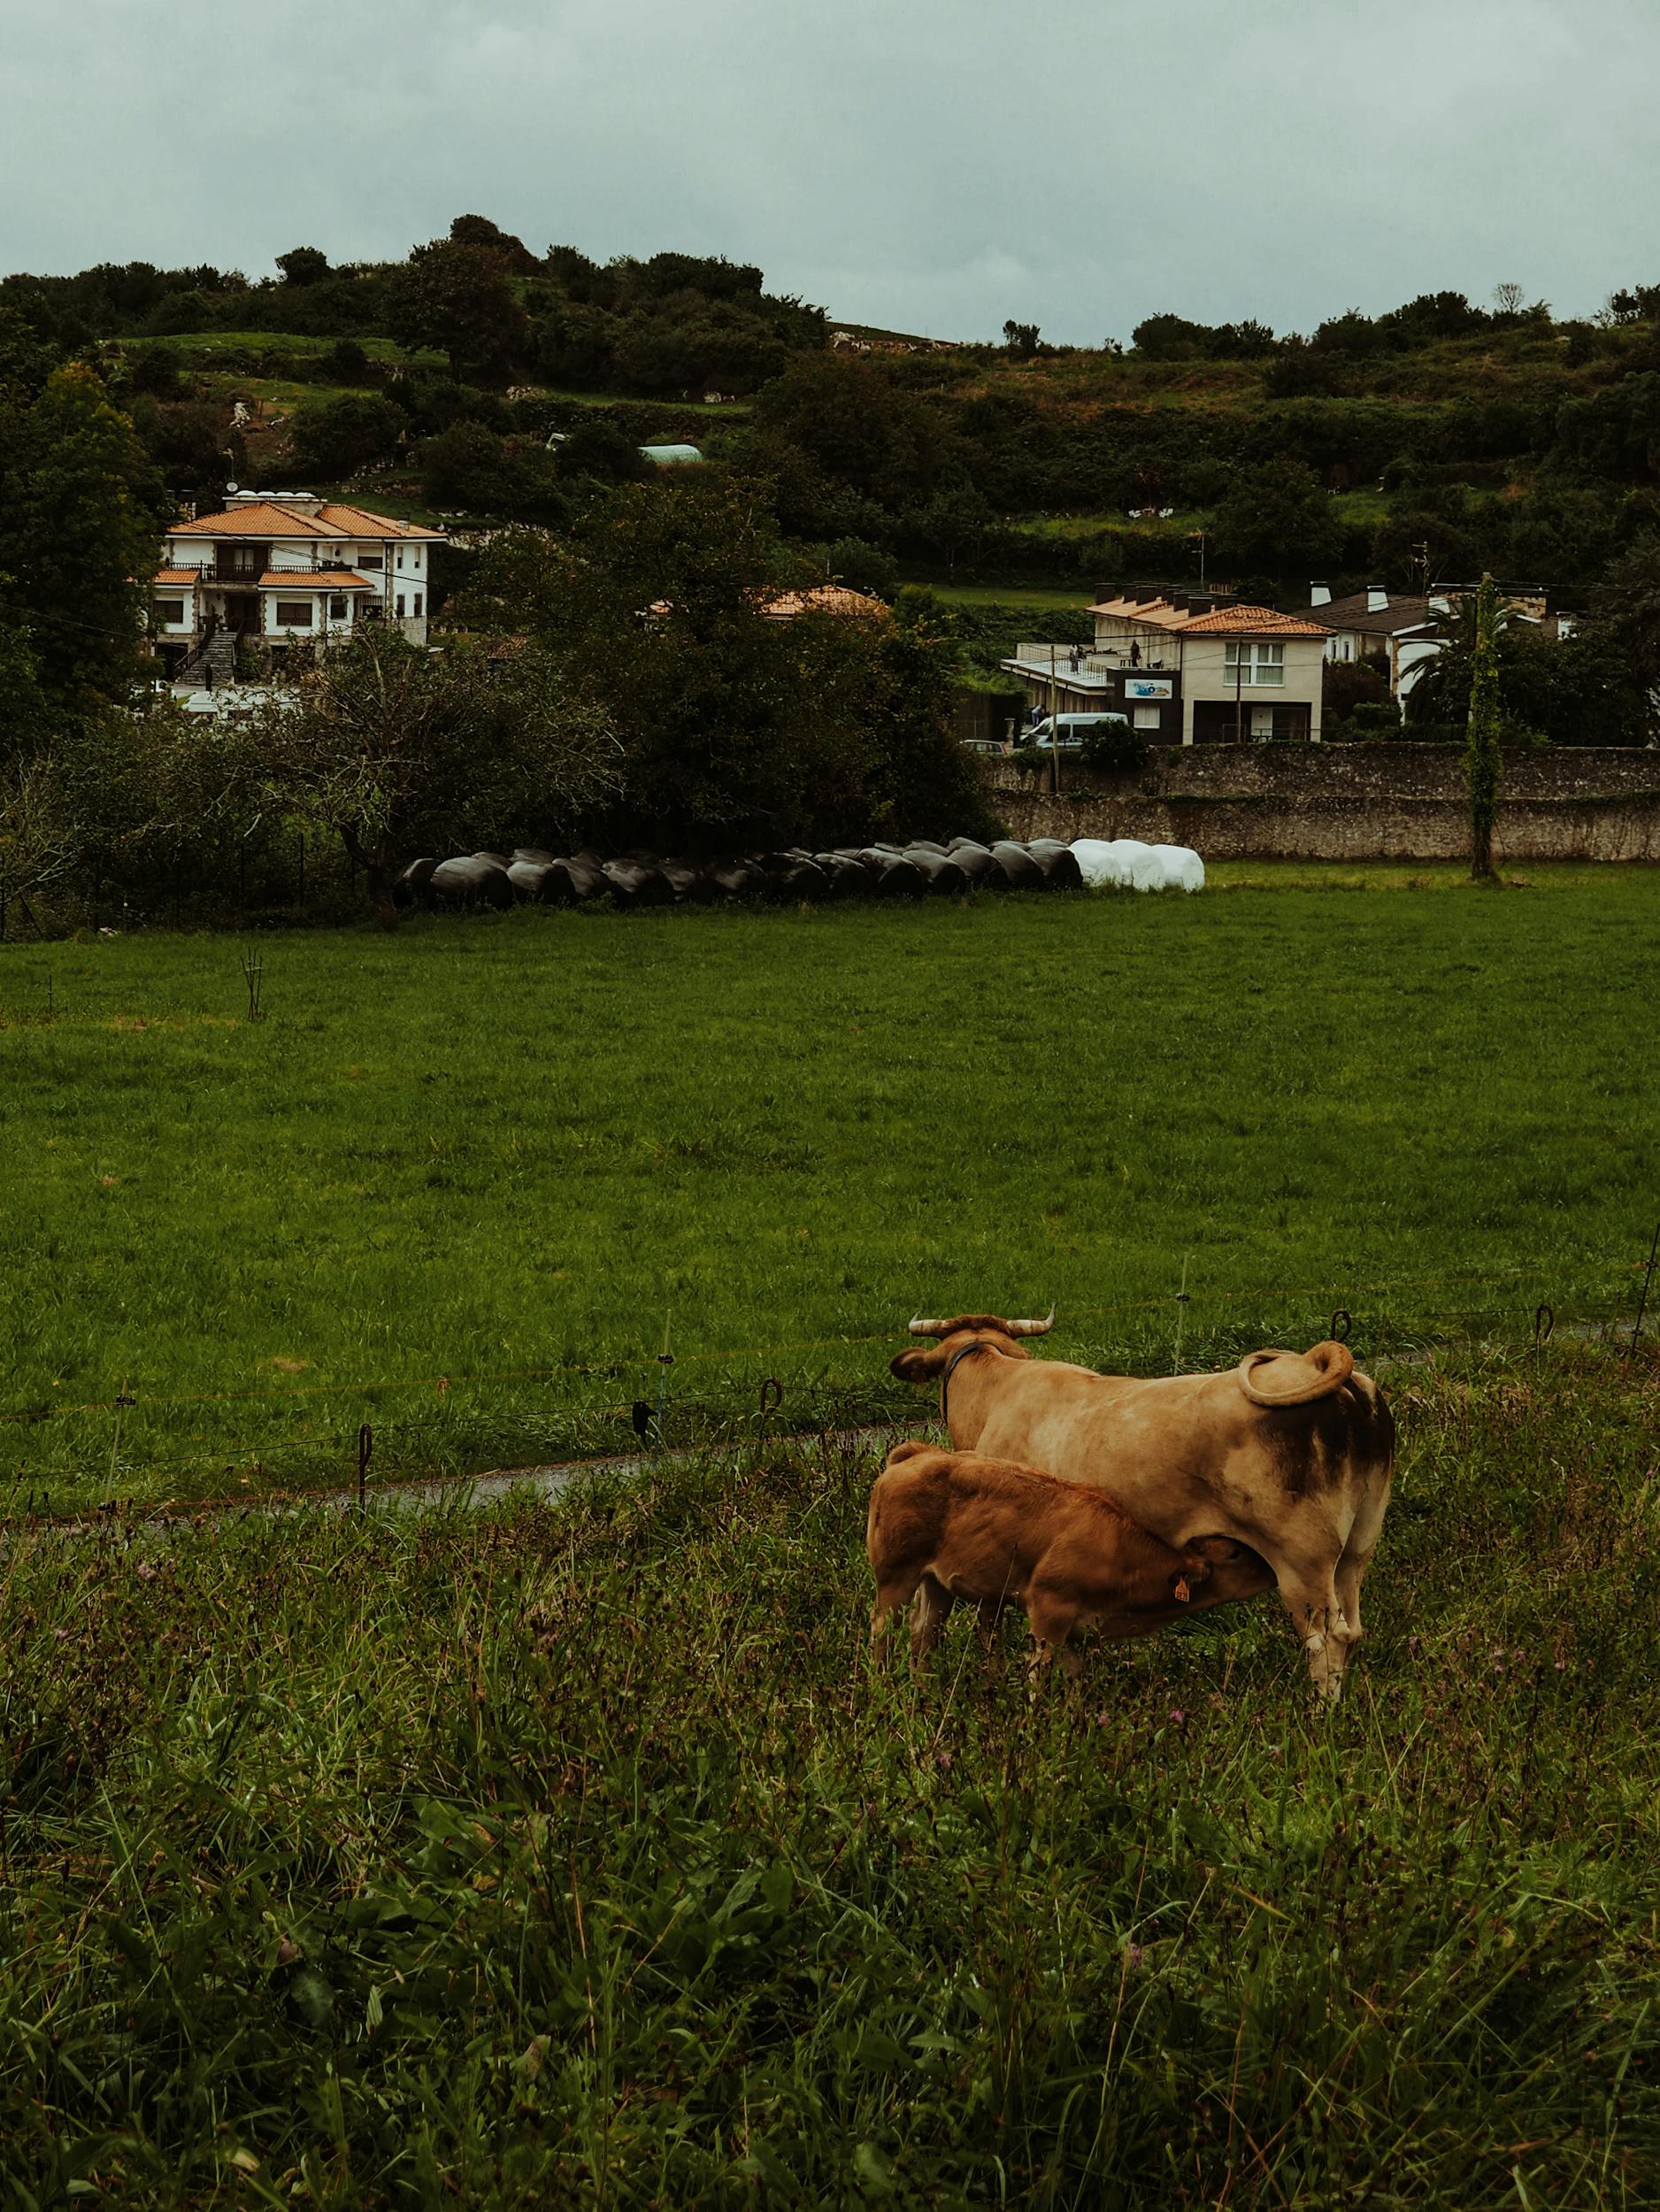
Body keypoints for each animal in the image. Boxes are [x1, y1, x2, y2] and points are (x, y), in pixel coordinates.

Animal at [868, 1439, 1269, 1683]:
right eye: (1235, 1553)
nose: (1271, 1570)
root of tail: (920, 1453)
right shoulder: (1048, 1614)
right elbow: (1038, 1676)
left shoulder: (1078, 1630)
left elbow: (1074, 1679)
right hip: (894, 1577)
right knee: (883, 1629)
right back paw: (885, 1686)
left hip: (936, 1583)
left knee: (924, 1633)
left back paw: (923, 1690)